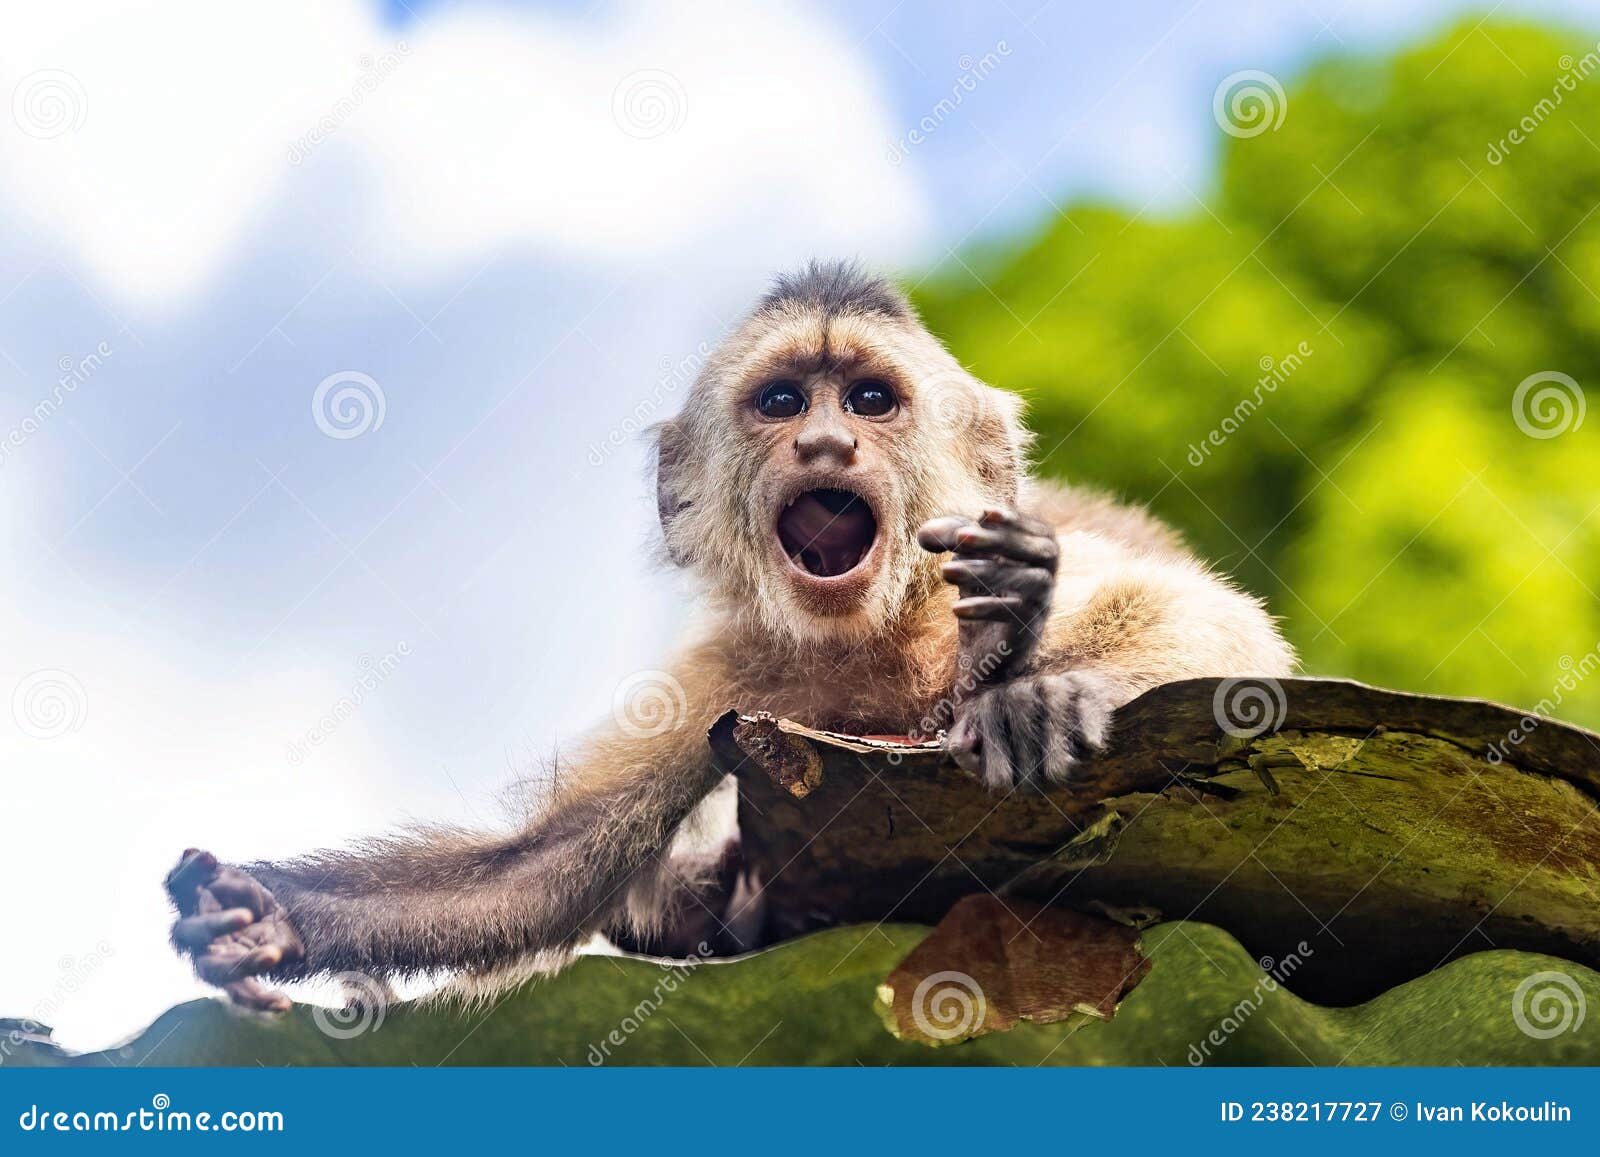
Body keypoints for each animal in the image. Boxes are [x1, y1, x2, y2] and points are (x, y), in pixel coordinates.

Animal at [165, 260, 1295, 1010]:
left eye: (871, 400)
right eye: (783, 401)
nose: (826, 442)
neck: (866, 643)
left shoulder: (969, 556)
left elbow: (1229, 639)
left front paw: (1038, 686)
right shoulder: (726, 673)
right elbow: (544, 872)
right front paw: (260, 912)